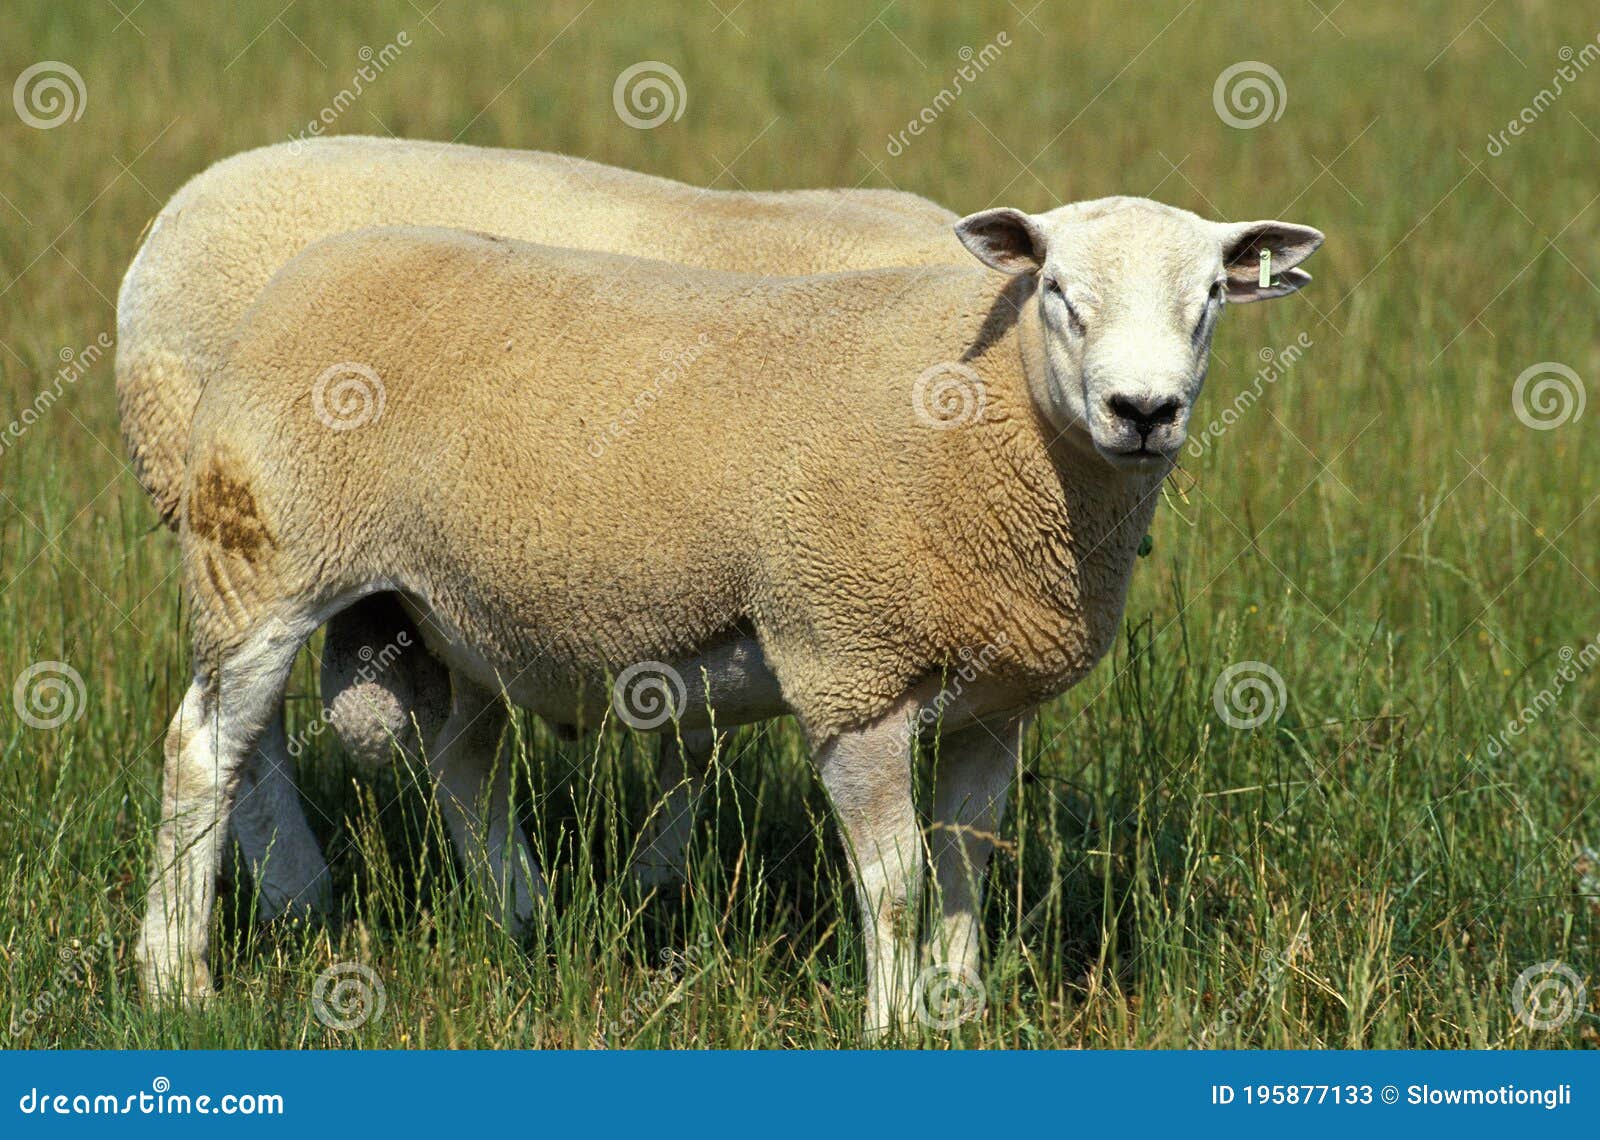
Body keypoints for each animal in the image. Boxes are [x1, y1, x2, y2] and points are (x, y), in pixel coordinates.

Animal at [116, 135, 962, 919]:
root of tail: (172, 221)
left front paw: (655, 875)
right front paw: (656, 875)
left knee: (453, 746)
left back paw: (514, 908)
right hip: (255, 530)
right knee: (248, 739)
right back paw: (299, 893)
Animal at [137, 196, 1323, 1034]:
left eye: (1210, 299)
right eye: (1060, 292)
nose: (1144, 411)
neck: (995, 425)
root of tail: (308, 269)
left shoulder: (996, 698)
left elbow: (964, 863)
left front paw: (963, 1009)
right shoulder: (850, 663)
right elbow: (893, 881)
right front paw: (895, 1024)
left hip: (442, 602)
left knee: (464, 763)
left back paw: (525, 925)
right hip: (267, 559)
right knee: (206, 750)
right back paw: (175, 977)